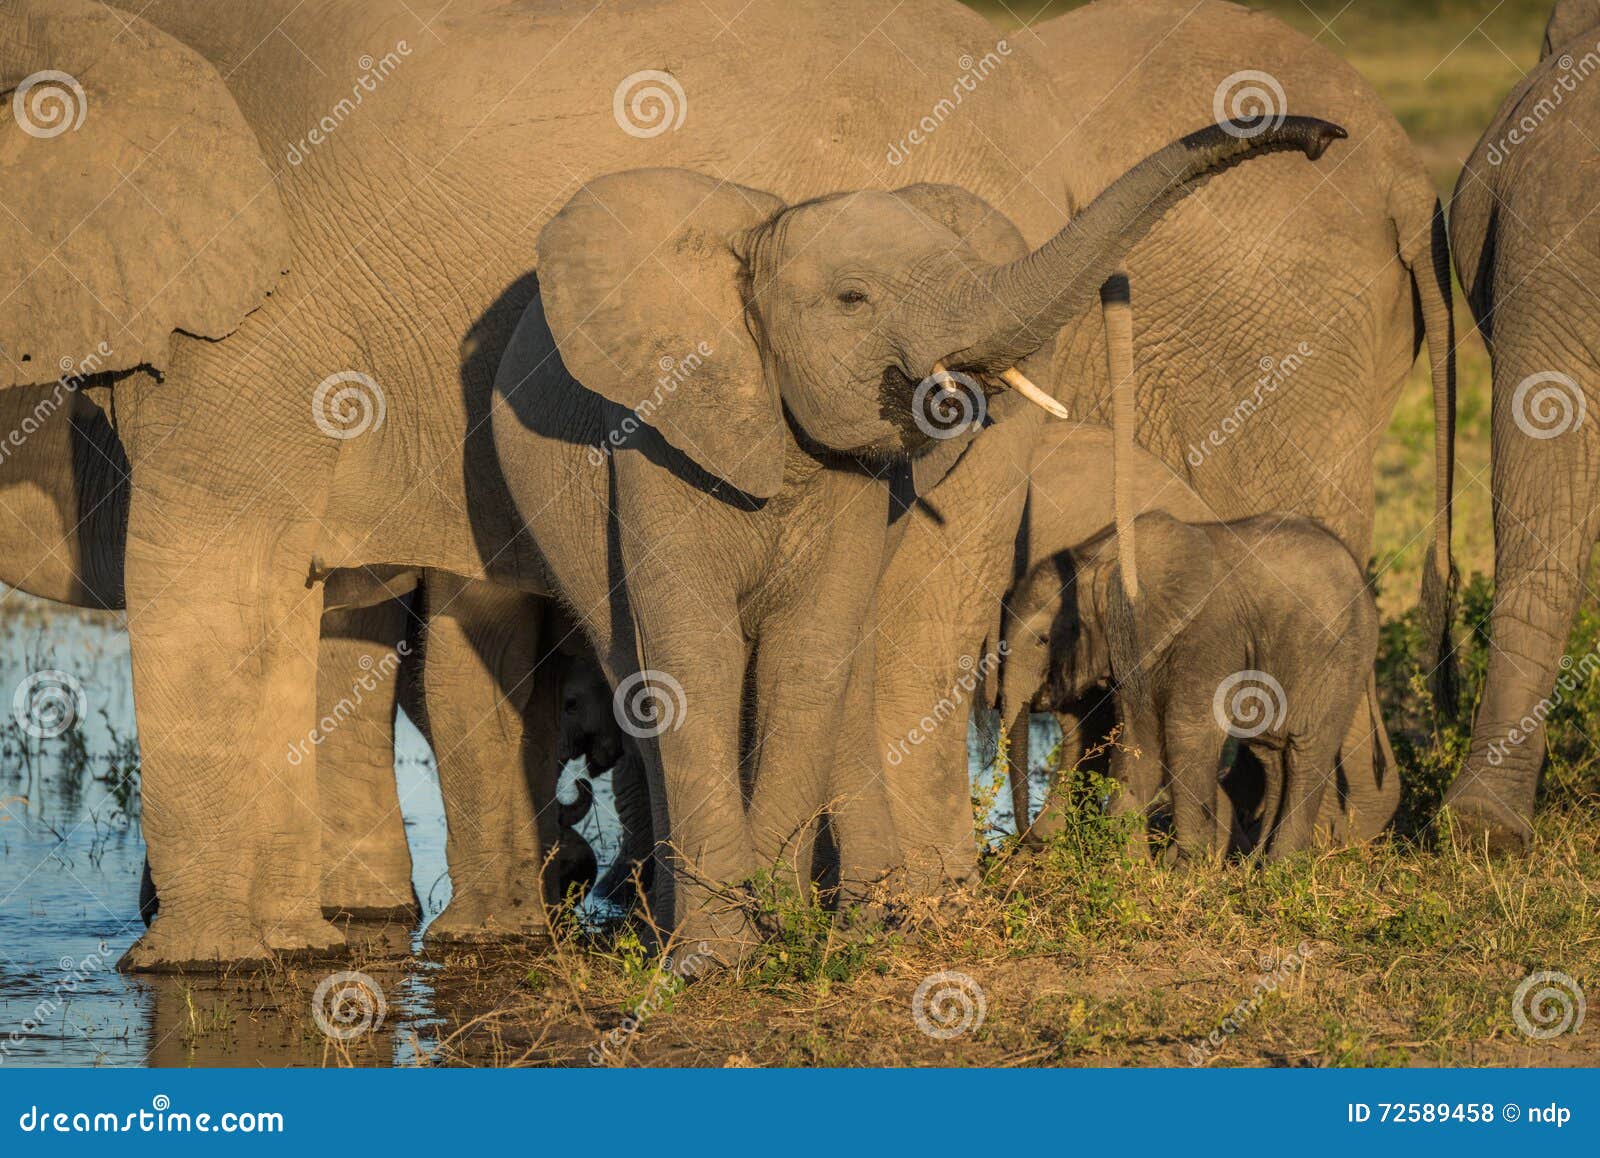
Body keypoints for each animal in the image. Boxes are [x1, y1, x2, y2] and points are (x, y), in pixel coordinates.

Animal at [1004, 510, 1379, 861]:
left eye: (1043, 639)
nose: (1034, 842)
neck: (1101, 558)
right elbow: (1139, 739)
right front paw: (1131, 869)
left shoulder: (1210, 634)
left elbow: (1187, 732)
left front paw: (1184, 869)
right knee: (1271, 755)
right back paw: (1254, 868)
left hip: (1341, 659)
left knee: (1307, 752)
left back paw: (1280, 867)